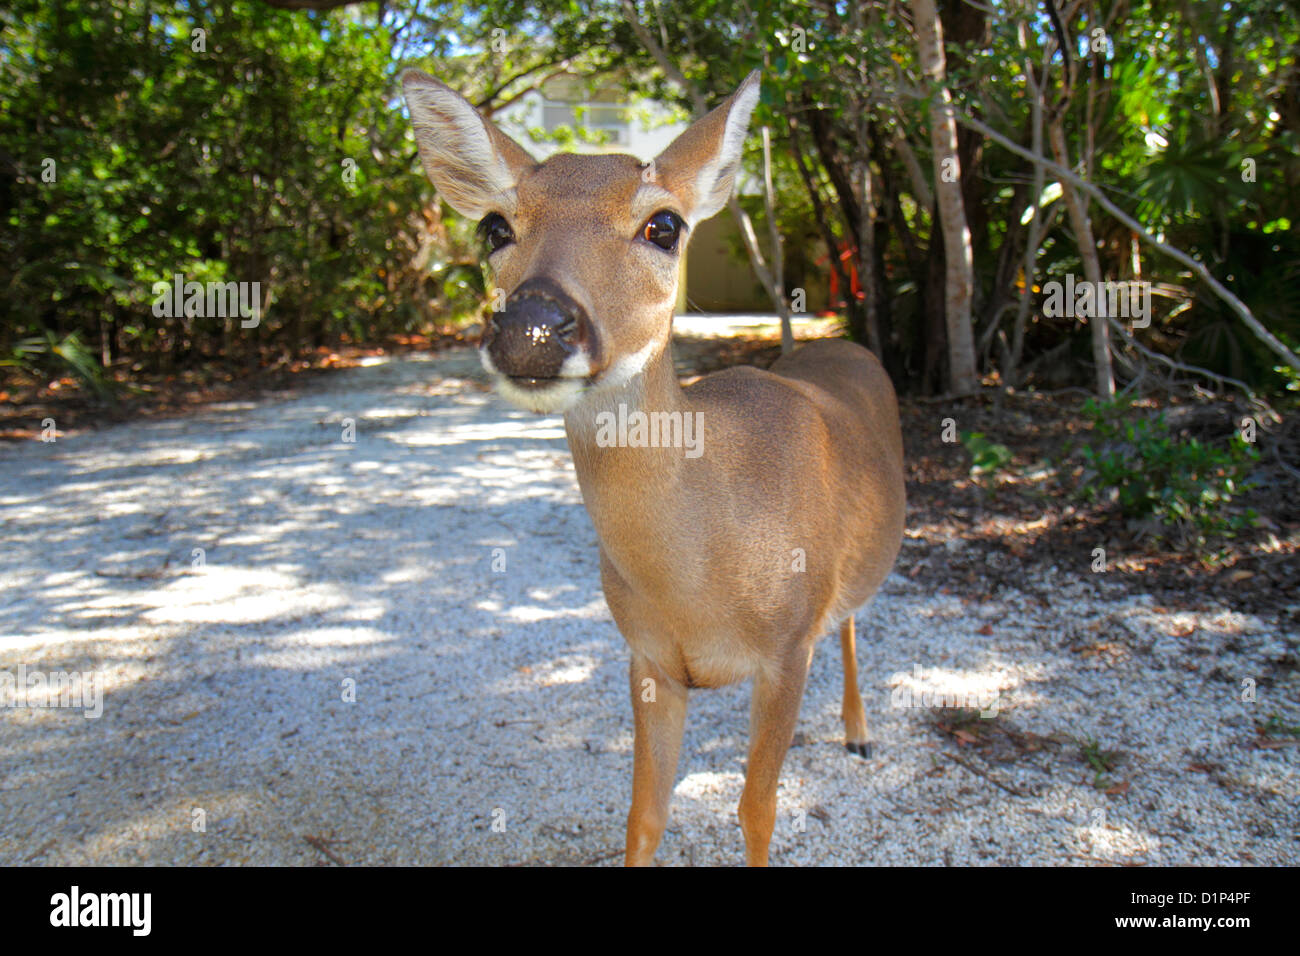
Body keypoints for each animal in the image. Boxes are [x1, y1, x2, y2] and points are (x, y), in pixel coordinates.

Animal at [402, 69, 906, 866]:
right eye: (494, 227)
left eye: (663, 226)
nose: (532, 327)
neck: (698, 577)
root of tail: (844, 343)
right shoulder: (647, 658)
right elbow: (644, 815)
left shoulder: (787, 646)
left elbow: (756, 810)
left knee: (853, 618)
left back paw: (858, 733)